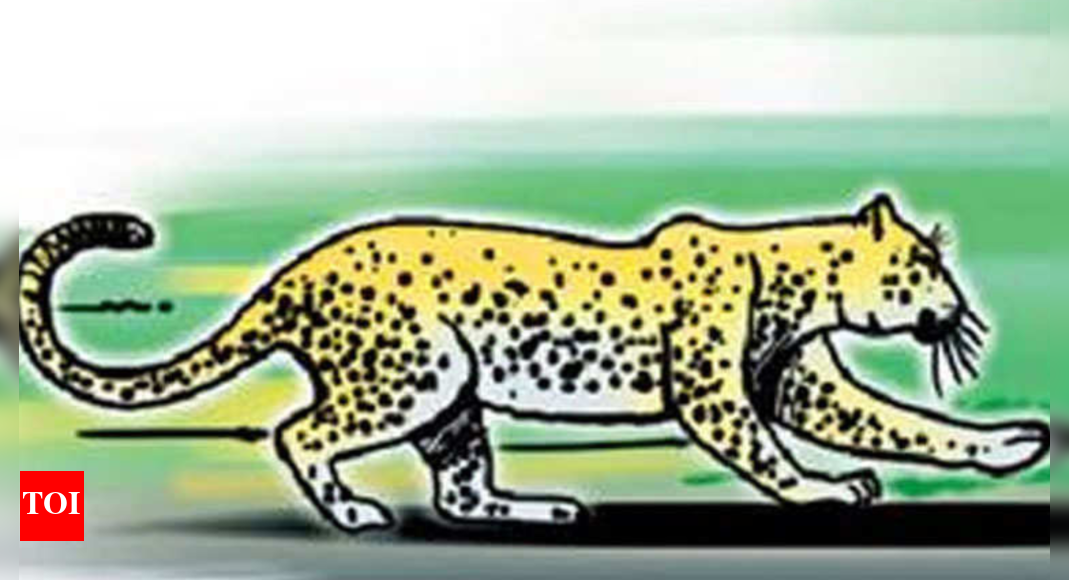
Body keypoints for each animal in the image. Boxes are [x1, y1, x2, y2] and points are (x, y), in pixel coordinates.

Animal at [17, 194, 1050, 534]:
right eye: (923, 265)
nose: (961, 310)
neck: (796, 280)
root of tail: (294, 272)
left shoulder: (800, 381)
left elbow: (905, 422)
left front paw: (1007, 444)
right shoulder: (718, 391)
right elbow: (764, 449)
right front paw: (822, 492)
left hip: (452, 402)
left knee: (460, 487)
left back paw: (537, 506)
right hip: (412, 376)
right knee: (299, 430)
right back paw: (352, 511)